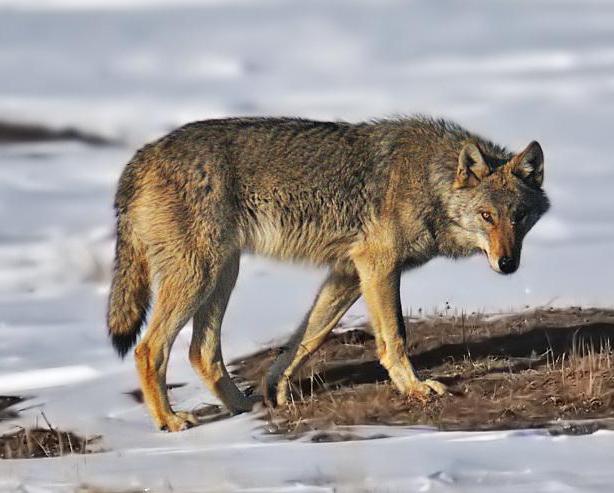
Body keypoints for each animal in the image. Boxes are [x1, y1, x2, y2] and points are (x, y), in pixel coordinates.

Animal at [107, 115, 552, 430]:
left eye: (519, 217)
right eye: (487, 216)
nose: (507, 264)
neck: (427, 180)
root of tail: (140, 157)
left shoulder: (348, 272)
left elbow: (307, 339)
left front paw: (274, 391)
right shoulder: (378, 265)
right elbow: (395, 336)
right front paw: (415, 389)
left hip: (223, 274)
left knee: (202, 351)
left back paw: (243, 408)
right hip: (201, 275)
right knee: (149, 348)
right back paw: (170, 421)